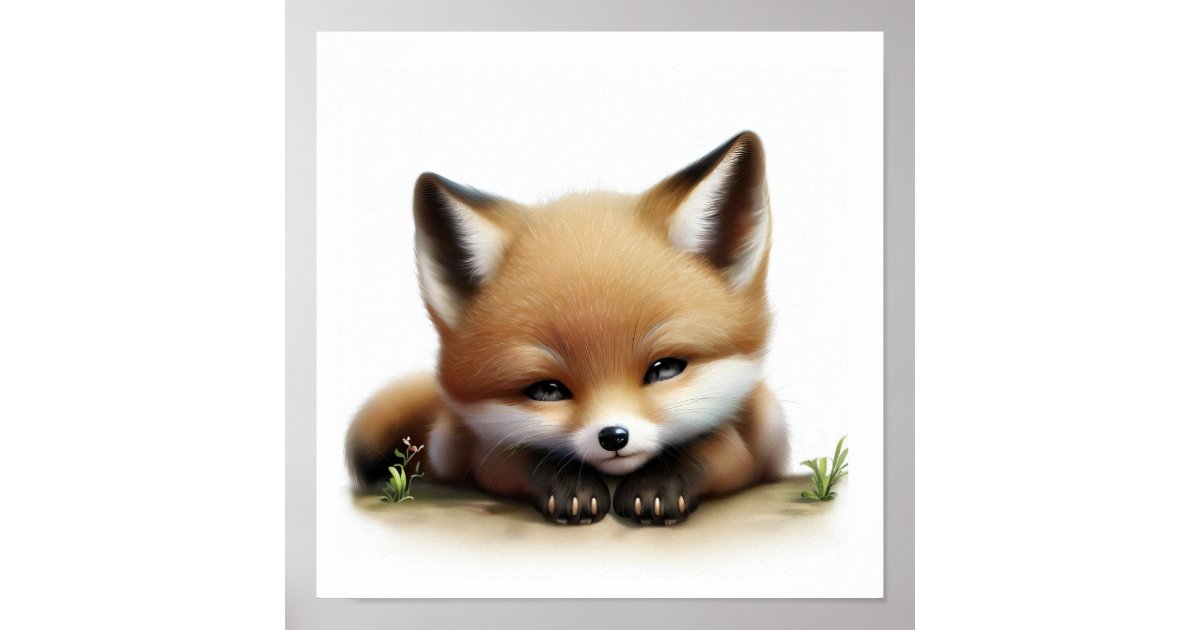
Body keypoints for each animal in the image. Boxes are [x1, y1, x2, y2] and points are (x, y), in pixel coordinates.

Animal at [345, 131, 789, 525]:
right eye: (546, 390)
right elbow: (520, 458)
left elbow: (716, 448)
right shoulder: (483, 451)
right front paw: (570, 488)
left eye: (665, 369)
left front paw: (658, 487)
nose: (614, 436)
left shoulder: (756, 438)